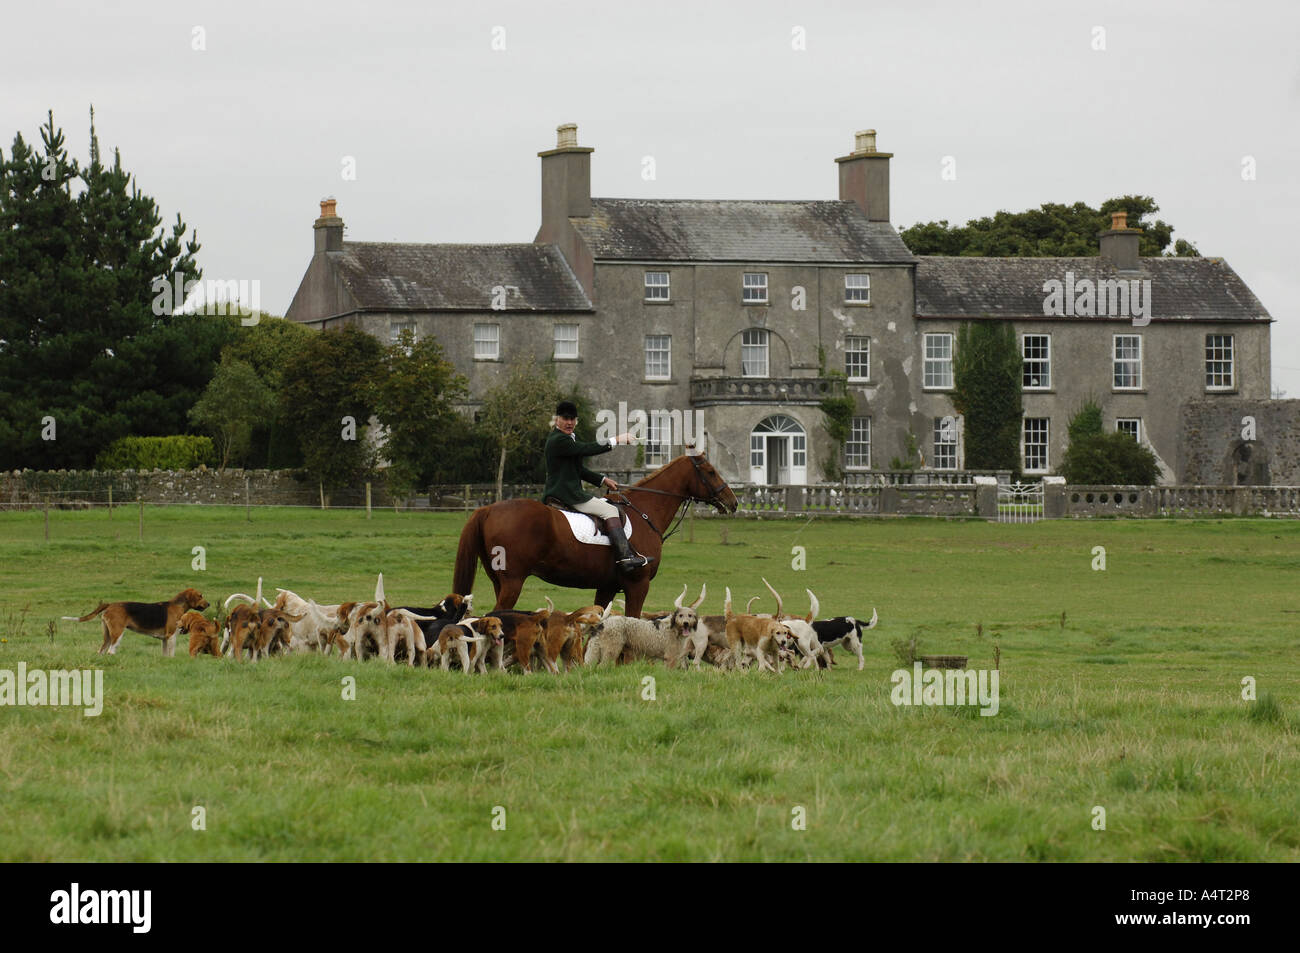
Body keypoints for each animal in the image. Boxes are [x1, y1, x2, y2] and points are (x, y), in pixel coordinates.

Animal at [452, 452, 738, 619]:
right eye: (711, 472)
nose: (732, 502)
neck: (645, 512)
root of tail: (488, 508)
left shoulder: (607, 586)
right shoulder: (638, 584)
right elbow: (633, 619)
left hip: (499, 581)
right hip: (513, 581)